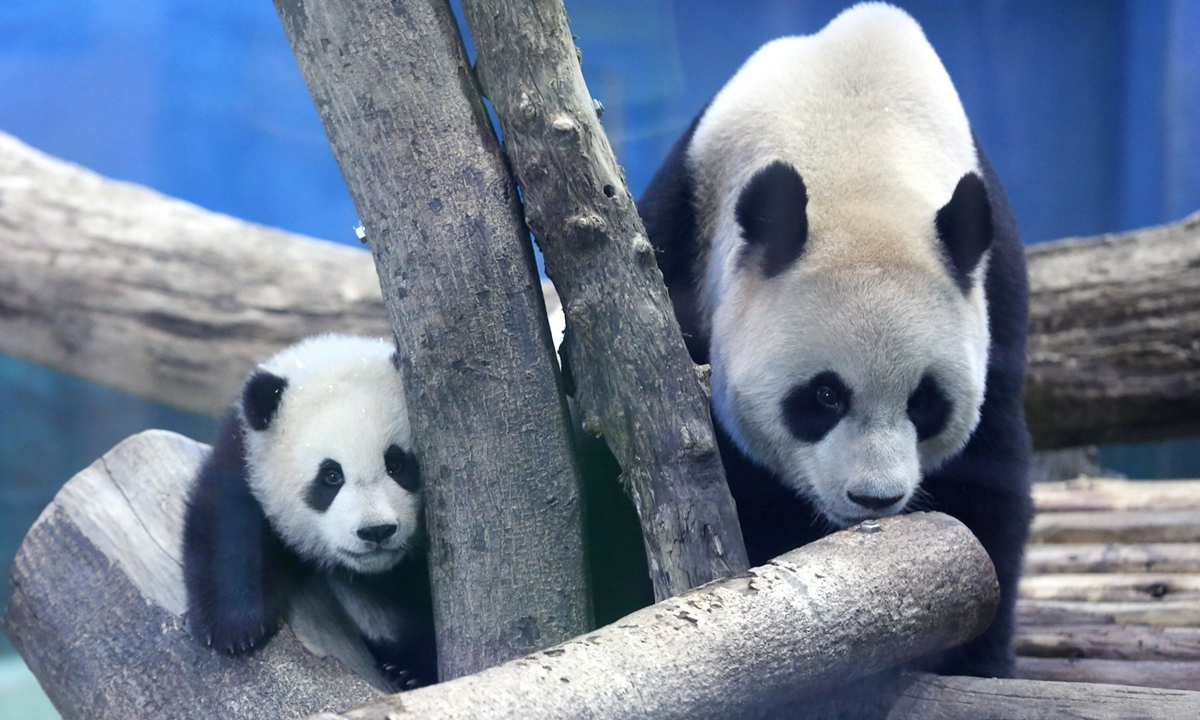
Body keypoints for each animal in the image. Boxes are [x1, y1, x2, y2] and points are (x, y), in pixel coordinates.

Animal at [183, 334, 437, 690]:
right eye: (331, 476)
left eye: (397, 465)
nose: (376, 531)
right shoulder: (248, 455)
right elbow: (227, 524)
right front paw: (233, 628)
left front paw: (411, 668)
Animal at [636, 3, 1032, 677]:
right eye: (824, 396)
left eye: (925, 401)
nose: (873, 498)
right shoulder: (684, 225)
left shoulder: (995, 296)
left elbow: (988, 483)